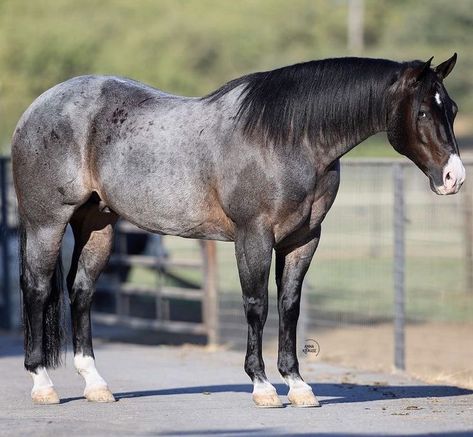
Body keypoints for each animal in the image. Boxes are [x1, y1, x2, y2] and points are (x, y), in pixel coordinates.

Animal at [12, 53, 464, 406]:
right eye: (423, 112)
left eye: (454, 109)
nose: (454, 178)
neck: (287, 139)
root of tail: (36, 108)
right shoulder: (254, 236)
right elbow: (256, 306)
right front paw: (262, 386)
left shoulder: (304, 240)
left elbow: (289, 306)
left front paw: (298, 385)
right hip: (47, 222)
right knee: (37, 288)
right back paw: (42, 384)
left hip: (98, 225)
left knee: (81, 291)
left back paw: (96, 385)